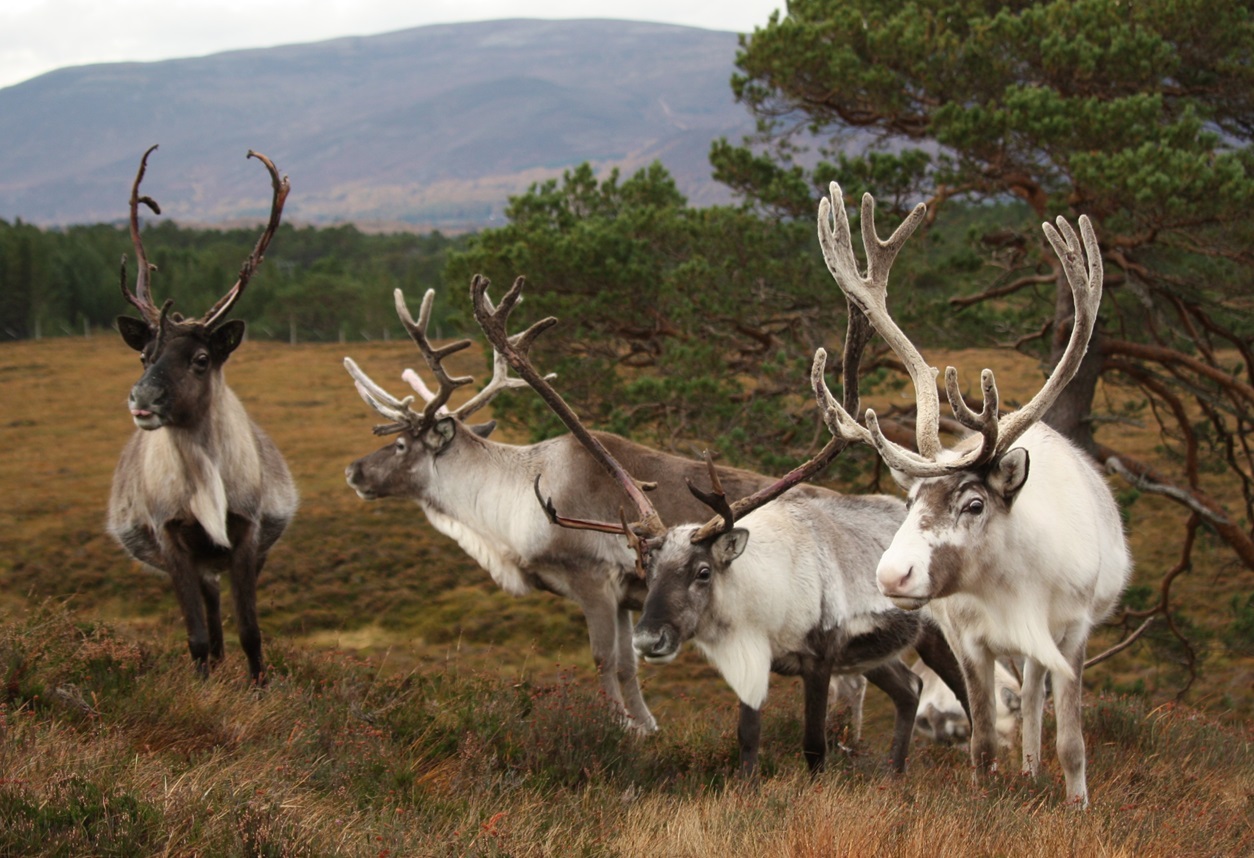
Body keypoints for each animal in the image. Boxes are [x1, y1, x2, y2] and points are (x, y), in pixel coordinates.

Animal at [106, 145, 297, 684]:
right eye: (144, 354)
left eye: (200, 358)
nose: (141, 398)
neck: (206, 480)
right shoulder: (171, 537)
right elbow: (194, 636)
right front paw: (202, 689)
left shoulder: (247, 531)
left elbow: (252, 632)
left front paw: (260, 689)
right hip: (199, 563)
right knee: (211, 623)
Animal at [343, 287, 847, 733]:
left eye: (401, 444)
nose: (353, 470)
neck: (513, 503)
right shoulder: (626, 597)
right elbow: (627, 665)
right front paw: (646, 727)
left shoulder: (592, 580)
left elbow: (604, 659)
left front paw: (620, 726)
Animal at [469, 273, 970, 776]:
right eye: (646, 571)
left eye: (703, 571)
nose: (649, 638)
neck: (763, 608)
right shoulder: (751, 662)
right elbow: (747, 739)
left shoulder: (821, 656)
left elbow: (814, 747)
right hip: (874, 654)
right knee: (909, 688)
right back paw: (895, 773)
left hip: (937, 636)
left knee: (962, 693)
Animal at [811, 181, 1133, 806]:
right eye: (910, 502)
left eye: (974, 503)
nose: (892, 576)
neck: (1016, 583)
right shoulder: (969, 638)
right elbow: (982, 740)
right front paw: (989, 797)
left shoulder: (1073, 630)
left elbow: (1072, 739)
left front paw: (1078, 804)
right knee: (1024, 696)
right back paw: (1027, 771)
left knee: (1033, 696)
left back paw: (1036, 768)